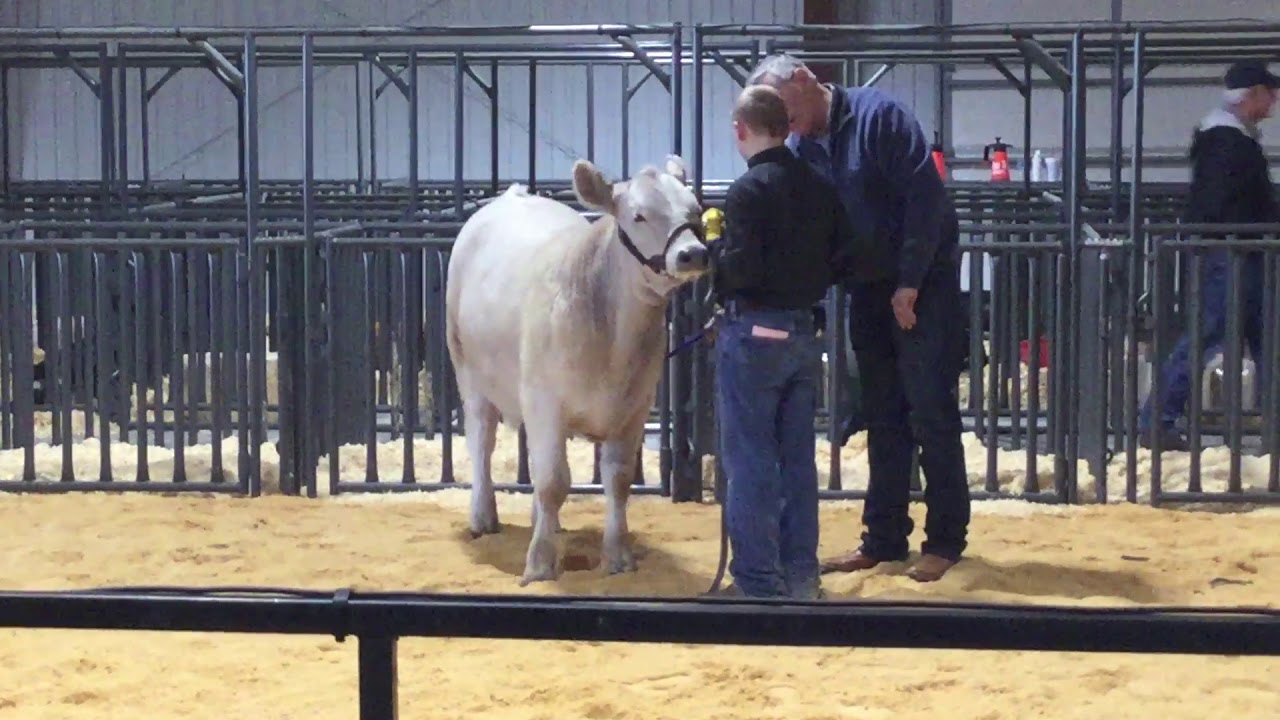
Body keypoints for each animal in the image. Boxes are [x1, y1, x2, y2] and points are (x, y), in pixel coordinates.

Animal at [445, 155, 711, 586]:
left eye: (694, 210)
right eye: (638, 216)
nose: (693, 254)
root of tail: (513, 195)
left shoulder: (635, 410)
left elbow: (617, 480)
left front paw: (618, 557)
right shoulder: (545, 404)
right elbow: (553, 481)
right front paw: (539, 564)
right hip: (467, 369)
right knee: (482, 440)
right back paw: (483, 517)